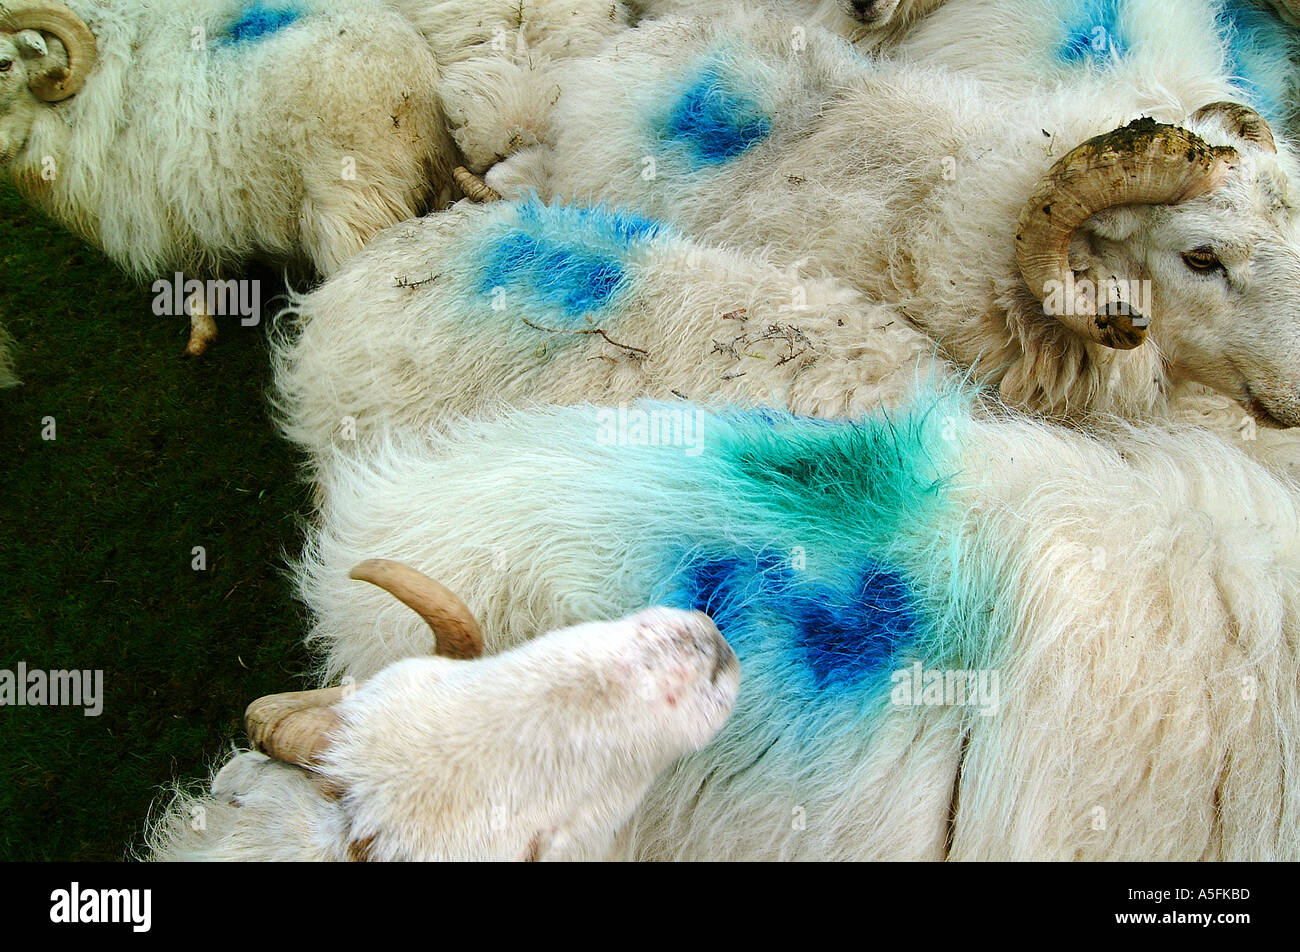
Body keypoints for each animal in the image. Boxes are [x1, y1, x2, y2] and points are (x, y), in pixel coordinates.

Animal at [0, 0, 461, 355]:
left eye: (4, 62)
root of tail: (413, 71)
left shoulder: (172, 198)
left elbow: (193, 269)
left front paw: (200, 327)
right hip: (430, 175)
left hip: (351, 202)